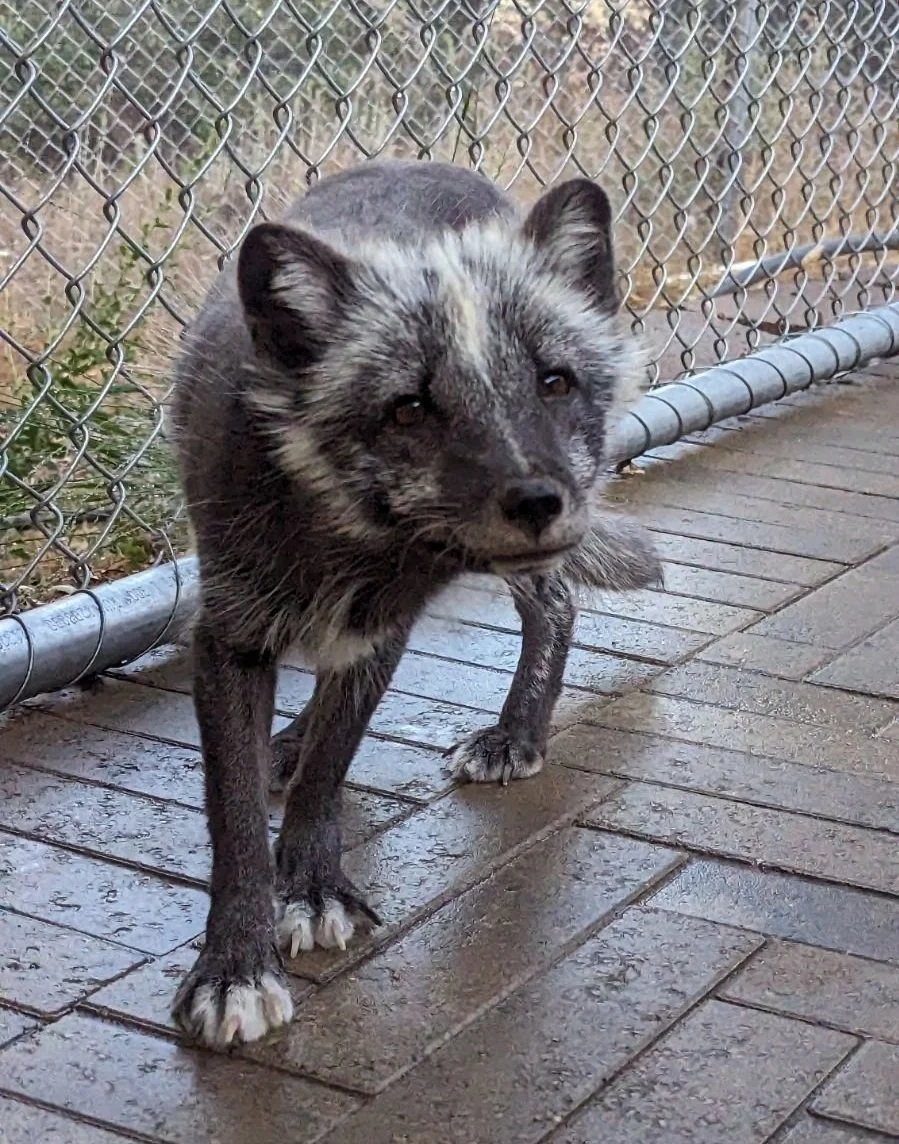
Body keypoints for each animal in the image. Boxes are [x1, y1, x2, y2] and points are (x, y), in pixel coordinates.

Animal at [169, 159, 661, 1048]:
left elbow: (331, 769)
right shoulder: (229, 636)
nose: (540, 502)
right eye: (409, 407)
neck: (346, 535)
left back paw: (516, 734)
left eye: (553, 381)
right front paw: (235, 968)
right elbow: (235, 818)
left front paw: (311, 888)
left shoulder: (380, 629)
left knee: (556, 603)